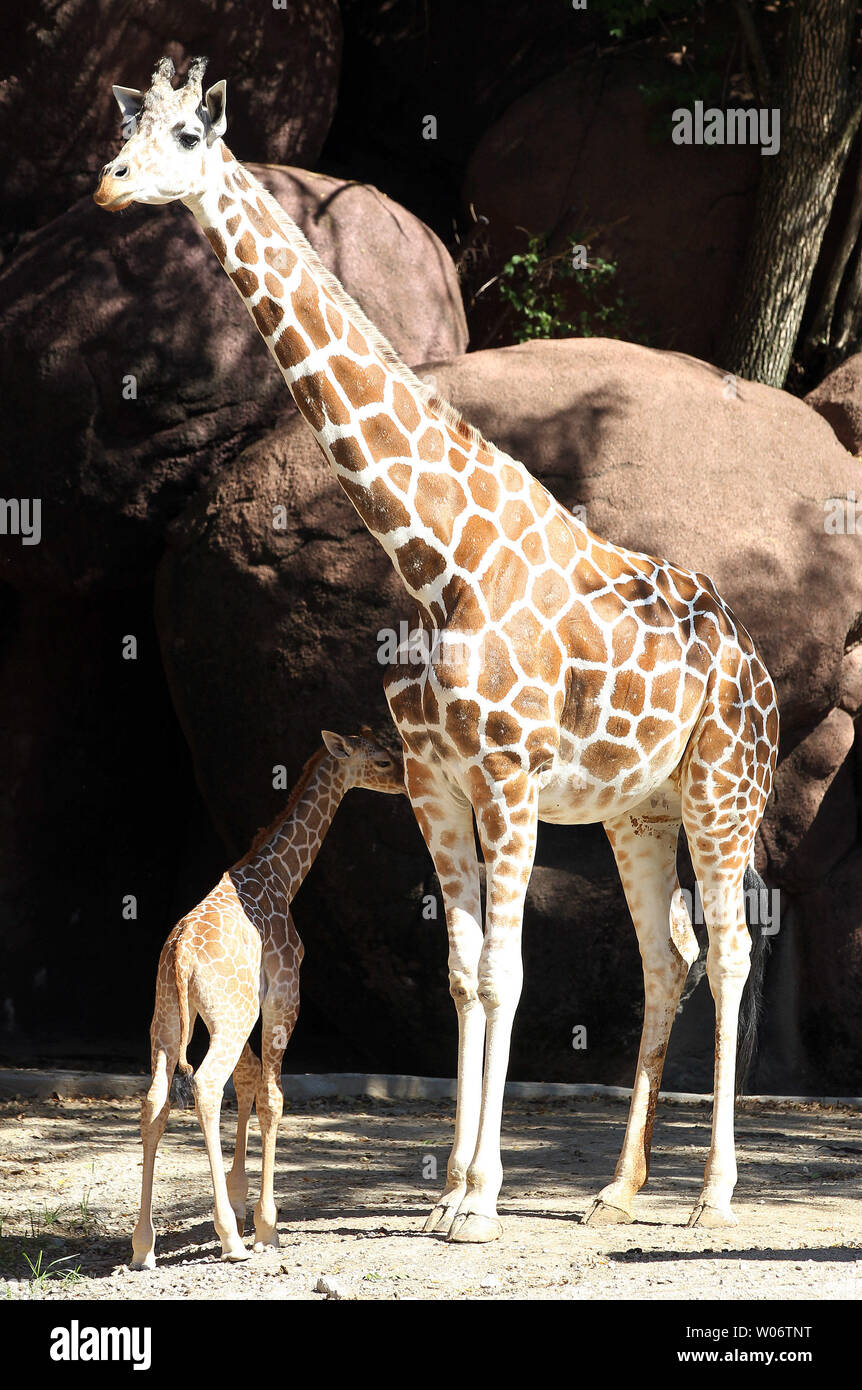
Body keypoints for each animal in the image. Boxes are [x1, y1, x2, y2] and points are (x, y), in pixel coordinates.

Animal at [130, 728, 405, 1269]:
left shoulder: (244, 1011)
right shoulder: (282, 996)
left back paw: (143, 1246)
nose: (409, 779)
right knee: (206, 1086)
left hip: (168, 1022)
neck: (282, 876)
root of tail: (181, 957)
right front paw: (265, 1227)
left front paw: (243, 1205)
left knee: (155, 1098)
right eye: (384, 759)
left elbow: (251, 1081)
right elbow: (273, 1097)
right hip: (229, 1019)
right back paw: (230, 1241)